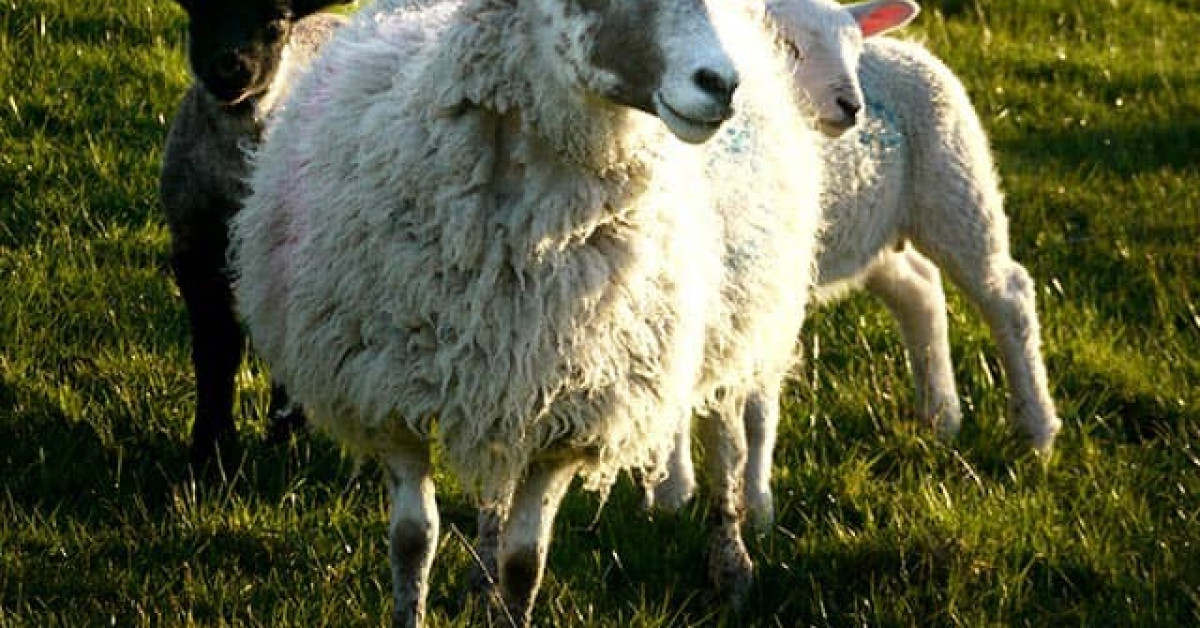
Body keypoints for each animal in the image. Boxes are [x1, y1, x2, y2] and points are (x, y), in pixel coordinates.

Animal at [160, 0, 350, 464]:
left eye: (276, 22)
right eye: (198, 13)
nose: (230, 65)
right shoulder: (192, 251)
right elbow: (215, 349)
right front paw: (209, 447)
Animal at [229, 0, 822, 624]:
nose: (721, 84)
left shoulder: (571, 415)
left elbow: (525, 561)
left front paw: (509, 586)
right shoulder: (388, 392)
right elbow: (414, 539)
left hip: (739, 318)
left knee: (727, 434)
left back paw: (730, 561)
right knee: (497, 485)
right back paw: (481, 576)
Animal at [653, 0, 1063, 531]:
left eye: (851, 49)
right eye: (783, 43)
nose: (853, 106)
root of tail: (911, 49)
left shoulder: (774, 291)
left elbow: (756, 408)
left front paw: (753, 508)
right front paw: (671, 494)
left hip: (956, 188)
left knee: (1008, 297)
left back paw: (1036, 428)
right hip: (876, 233)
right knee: (920, 290)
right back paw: (940, 417)